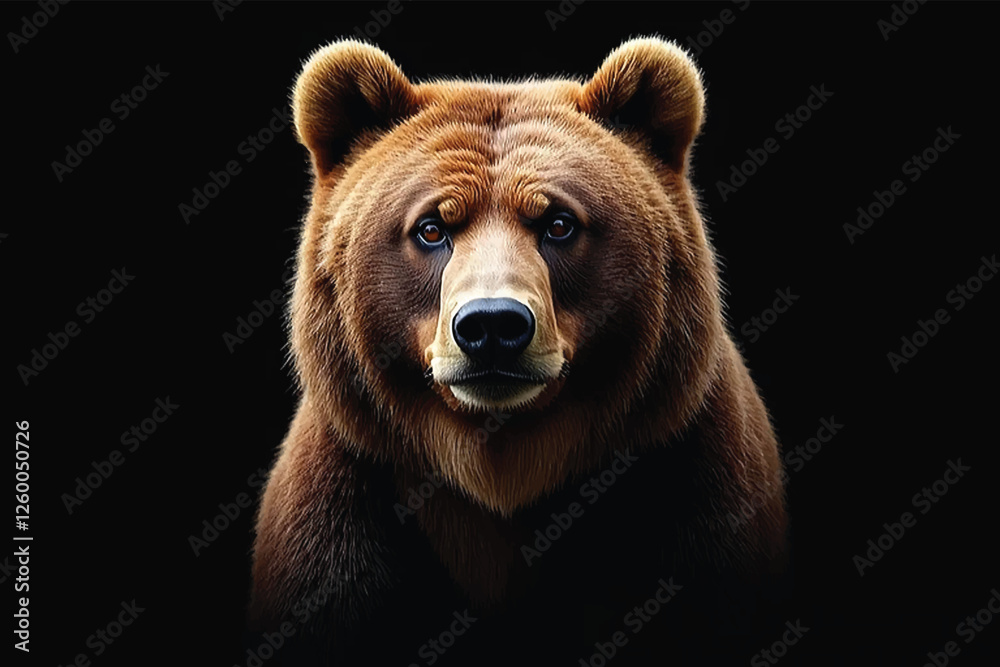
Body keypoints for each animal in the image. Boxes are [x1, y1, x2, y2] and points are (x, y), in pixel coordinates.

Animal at [249, 37, 788, 666]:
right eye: (432, 227)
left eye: (558, 222)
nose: (492, 325)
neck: (504, 466)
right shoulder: (347, 509)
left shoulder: (694, 482)